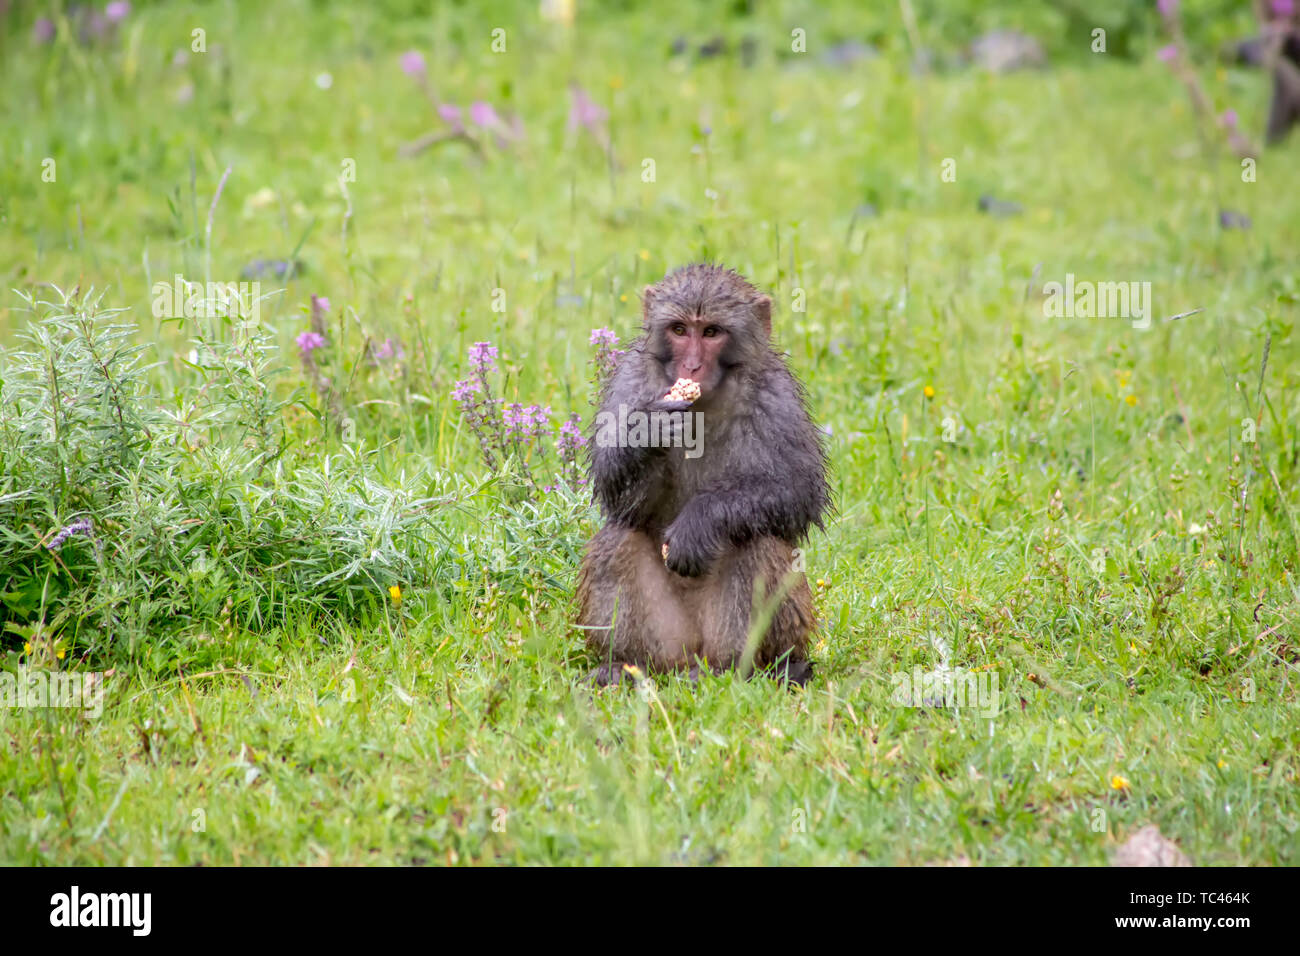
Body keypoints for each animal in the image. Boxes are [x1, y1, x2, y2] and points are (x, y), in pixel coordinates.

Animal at [575, 264, 831, 687]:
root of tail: (692, 658)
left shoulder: (775, 393)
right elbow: (620, 500)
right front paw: (650, 432)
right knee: (619, 540)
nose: (691, 367)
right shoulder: (632, 382)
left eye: (711, 332)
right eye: (680, 330)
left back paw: (744, 671)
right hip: (670, 638)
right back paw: (626, 665)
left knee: (757, 543)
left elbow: (798, 493)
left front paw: (698, 523)